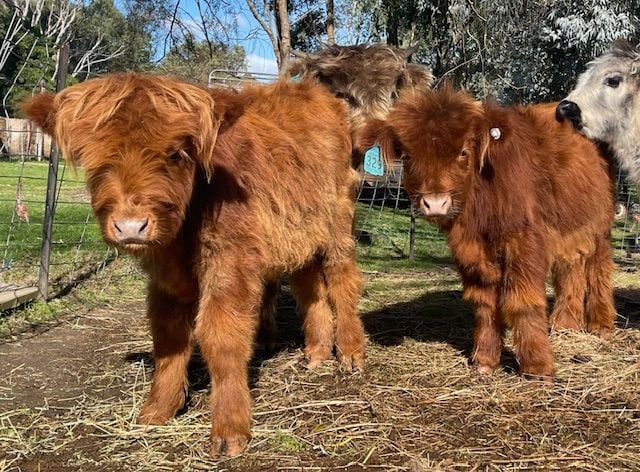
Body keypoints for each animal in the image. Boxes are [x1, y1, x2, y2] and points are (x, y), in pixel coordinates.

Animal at [22, 73, 366, 457]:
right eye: (93, 158)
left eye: (175, 154)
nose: (131, 226)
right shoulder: (165, 279)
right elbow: (168, 337)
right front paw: (159, 408)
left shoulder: (229, 264)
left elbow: (221, 336)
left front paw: (230, 427)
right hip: (301, 235)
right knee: (310, 289)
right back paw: (317, 352)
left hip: (338, 227)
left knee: (343, 282)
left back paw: (351, 352)